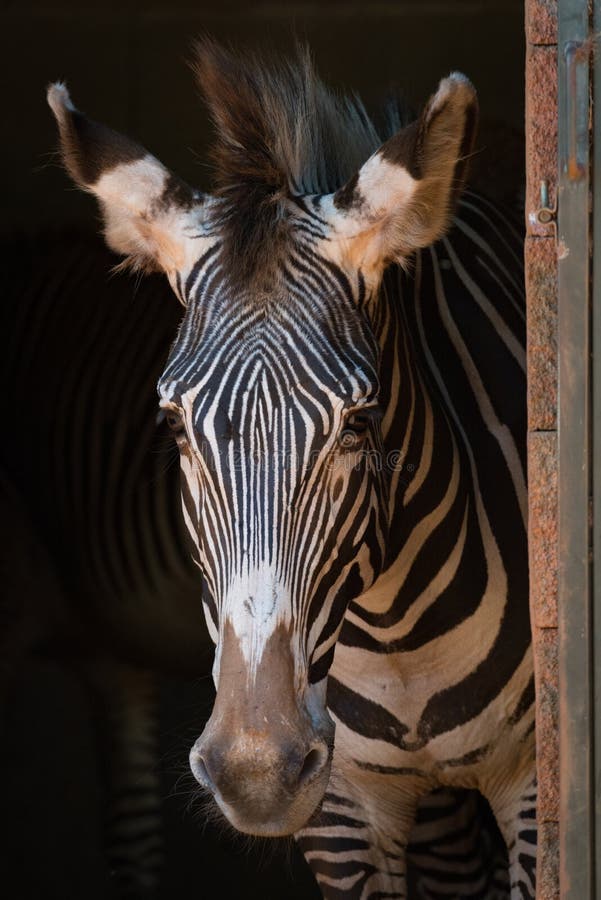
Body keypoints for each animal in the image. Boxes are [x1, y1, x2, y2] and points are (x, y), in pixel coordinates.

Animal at [46, 39, 534, 898]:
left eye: (360, 422)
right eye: (173, 427)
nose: (253, 772)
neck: (396, 631)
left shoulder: (539, 780)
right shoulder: (340, 811)